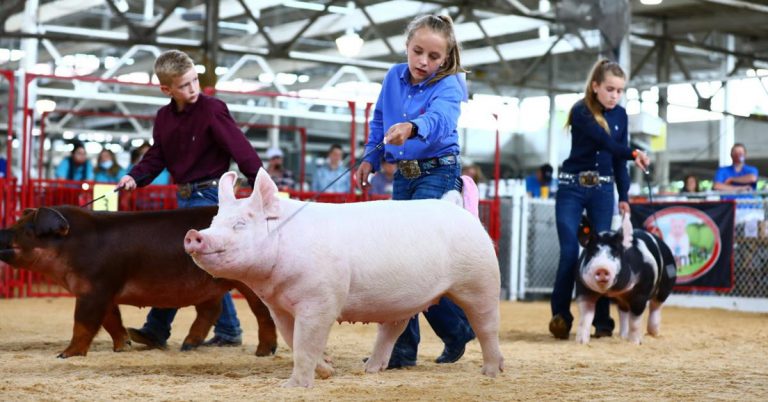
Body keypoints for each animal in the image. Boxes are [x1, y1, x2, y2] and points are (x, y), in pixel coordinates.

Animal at [0, 206, 277, 358]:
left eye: (26, 230)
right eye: (16, 222)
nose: (2, 231)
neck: (73, 247)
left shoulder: (95, 289)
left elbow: (83, 323)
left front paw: (64, 355)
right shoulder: (106, 293)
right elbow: (112, 321)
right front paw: (123, 346)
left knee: (263, 314)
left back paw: (264, 352)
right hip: (211, 284)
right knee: (211, 309)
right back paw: (186, 346)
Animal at [184, 170, 504, 387]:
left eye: (240, 223)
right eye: (214, 221)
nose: (194, 234)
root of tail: (458, 209)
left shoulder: (321, 299)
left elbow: (305, 342)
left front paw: (293, 386)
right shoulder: (278, 305)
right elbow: (291, 339)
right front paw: (329, 370)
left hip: (481, 280)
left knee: (486, 325)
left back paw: (491, 372)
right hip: (403, 301)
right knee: (393, 328)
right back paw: (370, 369)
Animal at [575, 213, 677, 345]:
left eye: (616, 253)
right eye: (592, 253)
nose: (602, 268)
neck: (612, 291)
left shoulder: (641, 294)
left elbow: (635, 321)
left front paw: (635, 343)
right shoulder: (583, 289)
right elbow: (585, 317)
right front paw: (581, 342)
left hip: (665, 286)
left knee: (656, 305)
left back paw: (653, 333)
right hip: (622, 300)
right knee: (623, 311)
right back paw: (623, 336)